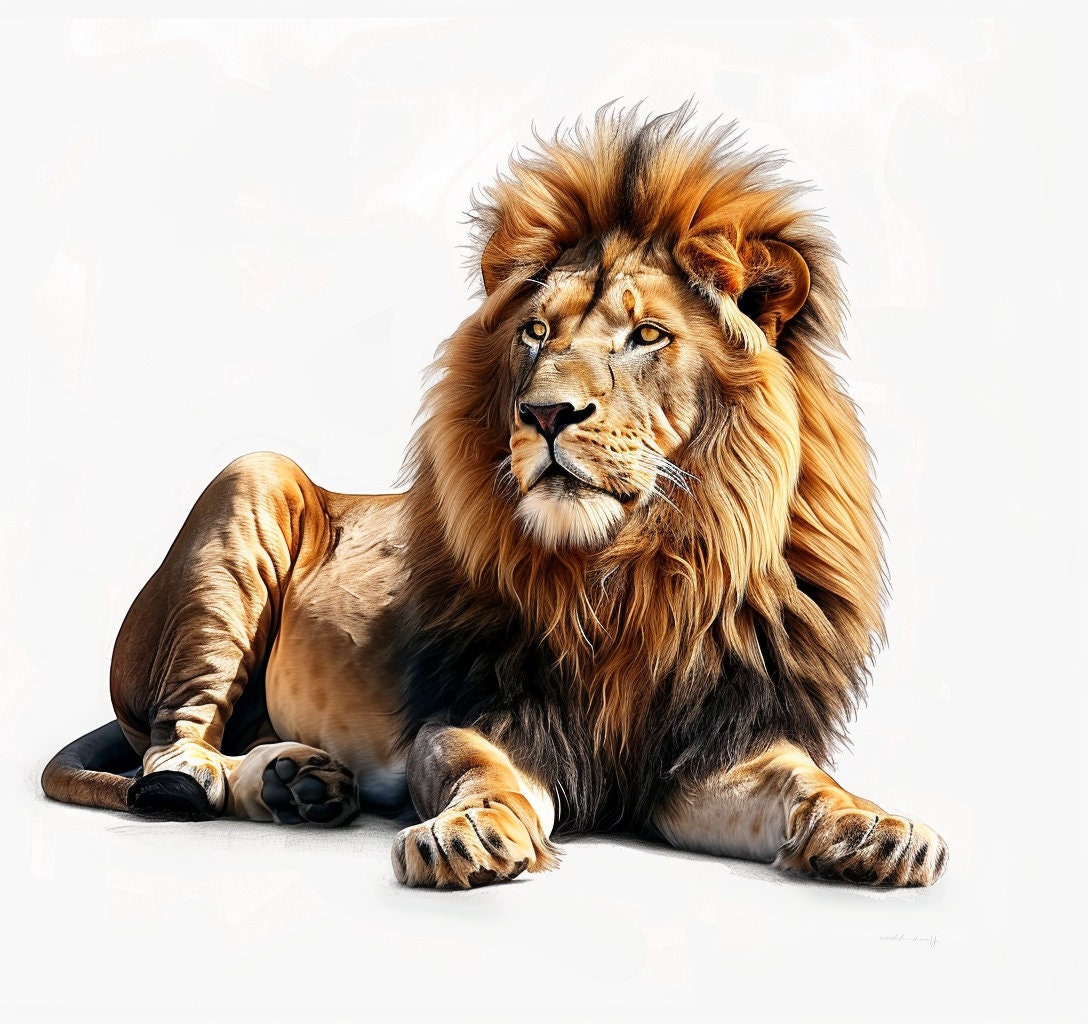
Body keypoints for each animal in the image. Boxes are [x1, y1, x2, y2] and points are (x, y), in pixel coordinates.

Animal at [42, 105, 947, 889]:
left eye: (648, 335)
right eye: (536, 332)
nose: (544, 413)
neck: (626, 580)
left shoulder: (713, 747)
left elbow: (806, 783)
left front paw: (877, 829)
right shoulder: (481, 713)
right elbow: (484, 774)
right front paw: (466, 834)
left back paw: (297, 781)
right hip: (249, 482)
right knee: (169, 754)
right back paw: (259, 779)